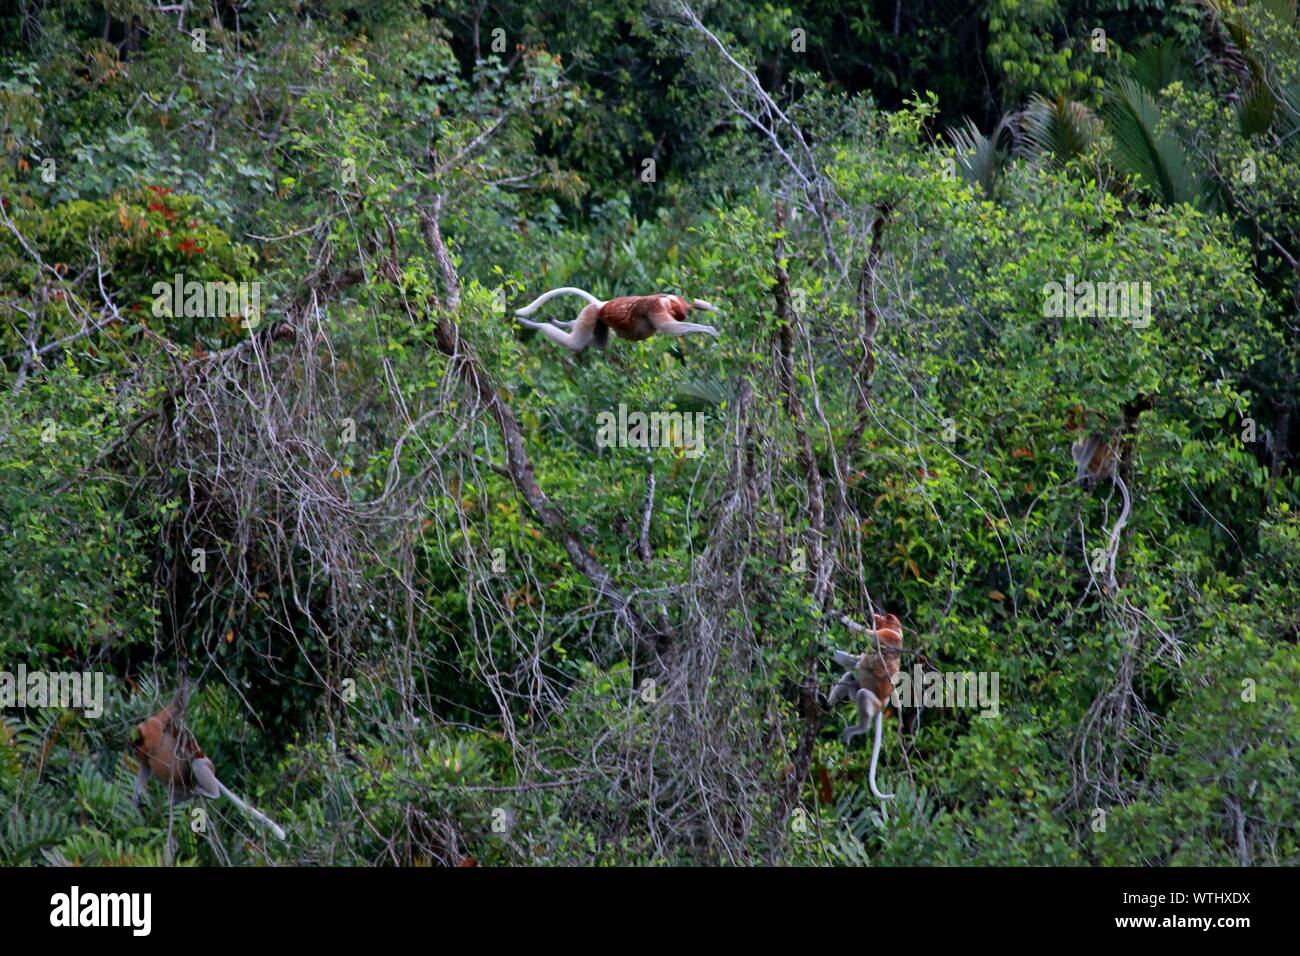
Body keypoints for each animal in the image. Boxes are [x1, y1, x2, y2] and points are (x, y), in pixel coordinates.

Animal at [132, 685, 286, 841]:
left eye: (137, 748)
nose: (137, 753)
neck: (151, 740)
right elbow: (146, 767)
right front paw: (136, 796)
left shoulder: (157, 723)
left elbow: (176, 706)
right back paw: (179, 798)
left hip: (206, 763)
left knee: (197, 764)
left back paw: (211, 794)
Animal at [515, 287, 720, 352]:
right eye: (676, 314)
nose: (681, 313)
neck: (666, 300)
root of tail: (601, 304)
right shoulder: (655, 307)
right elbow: (667, 327)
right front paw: (709, 329)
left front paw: (714, 310)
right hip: (591, 314)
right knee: (576, 344)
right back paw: (535, 324)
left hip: (598, 320)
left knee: (598, 344)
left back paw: (560, 323)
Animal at [828, 612, 903, 801]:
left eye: (884, 617)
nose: (876, 615)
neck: (898, 632)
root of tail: (881, 708)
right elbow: (854, 661)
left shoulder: (888, 636)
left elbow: (867, 634)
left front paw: (838, 615)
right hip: (855, 692)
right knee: (849, 676)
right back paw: (827, 705)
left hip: (871, 701)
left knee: (862, 695)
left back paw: (859, 728)